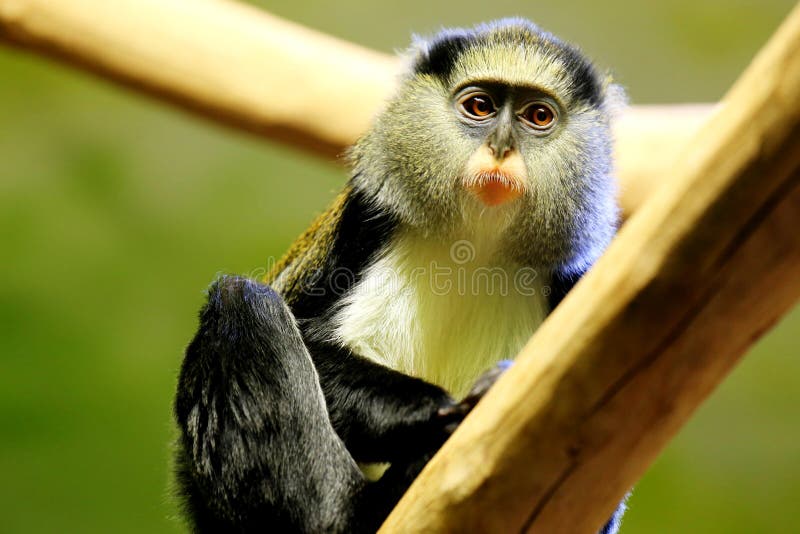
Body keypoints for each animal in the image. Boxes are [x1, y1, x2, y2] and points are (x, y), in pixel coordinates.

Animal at [174, 18, 627, 534]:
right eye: (480, 107)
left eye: (538, 116)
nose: (500, 147)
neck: (476, 240)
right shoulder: (363, 220)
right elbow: (307, 338)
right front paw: (448, 409)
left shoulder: (577, 281)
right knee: (241, 300)